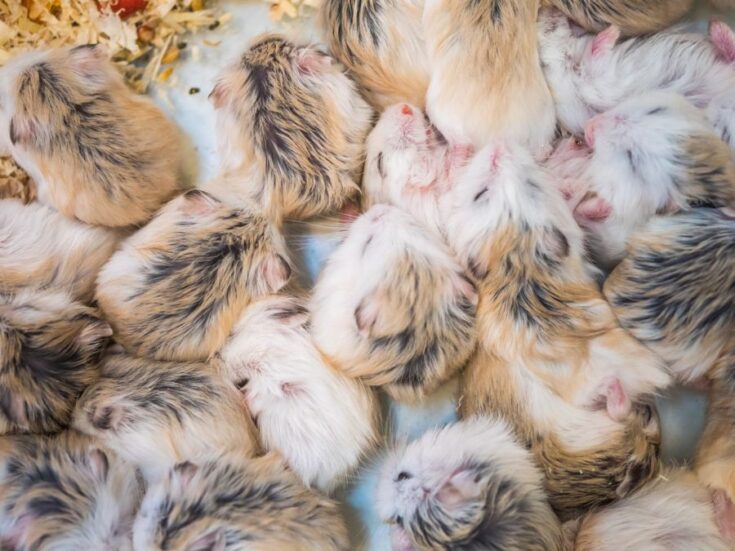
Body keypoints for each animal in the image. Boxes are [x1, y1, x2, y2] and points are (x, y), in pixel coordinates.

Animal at [539, 12, 735, 136]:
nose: (551, 9)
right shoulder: (578, 104)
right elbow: (593, 54)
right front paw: (612, 32)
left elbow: (593, 48)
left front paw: (613, 30)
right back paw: (717, 27)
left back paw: (716, 26)